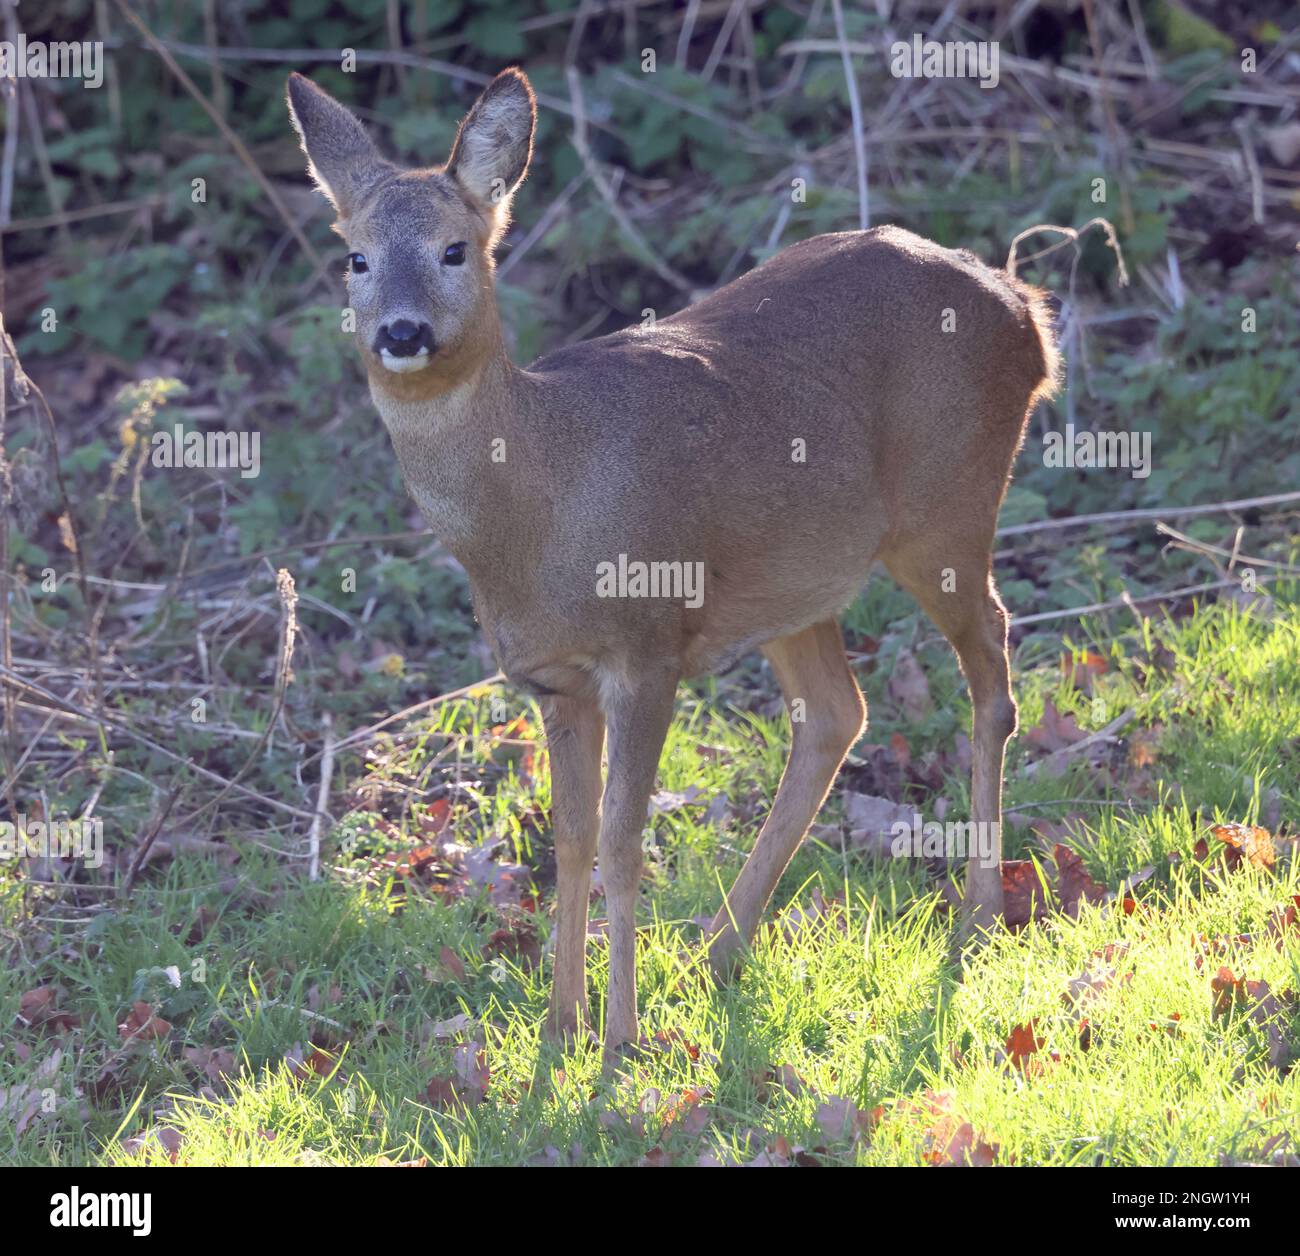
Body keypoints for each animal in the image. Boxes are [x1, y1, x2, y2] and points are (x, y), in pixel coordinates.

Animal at [286, 66, 1059, 1063]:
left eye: (456, 249)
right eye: (356, 259)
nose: (403, 332)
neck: (542, 501)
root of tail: (1026, 310)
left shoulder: (647, 649)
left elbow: (622, 843)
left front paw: (618, 1043)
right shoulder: (553, 678)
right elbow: (570, 842)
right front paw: (559, 1030)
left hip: (948, 507)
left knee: (993, 673)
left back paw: (977, 916)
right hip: (797, 578)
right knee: (836, 715)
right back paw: (717, 952)